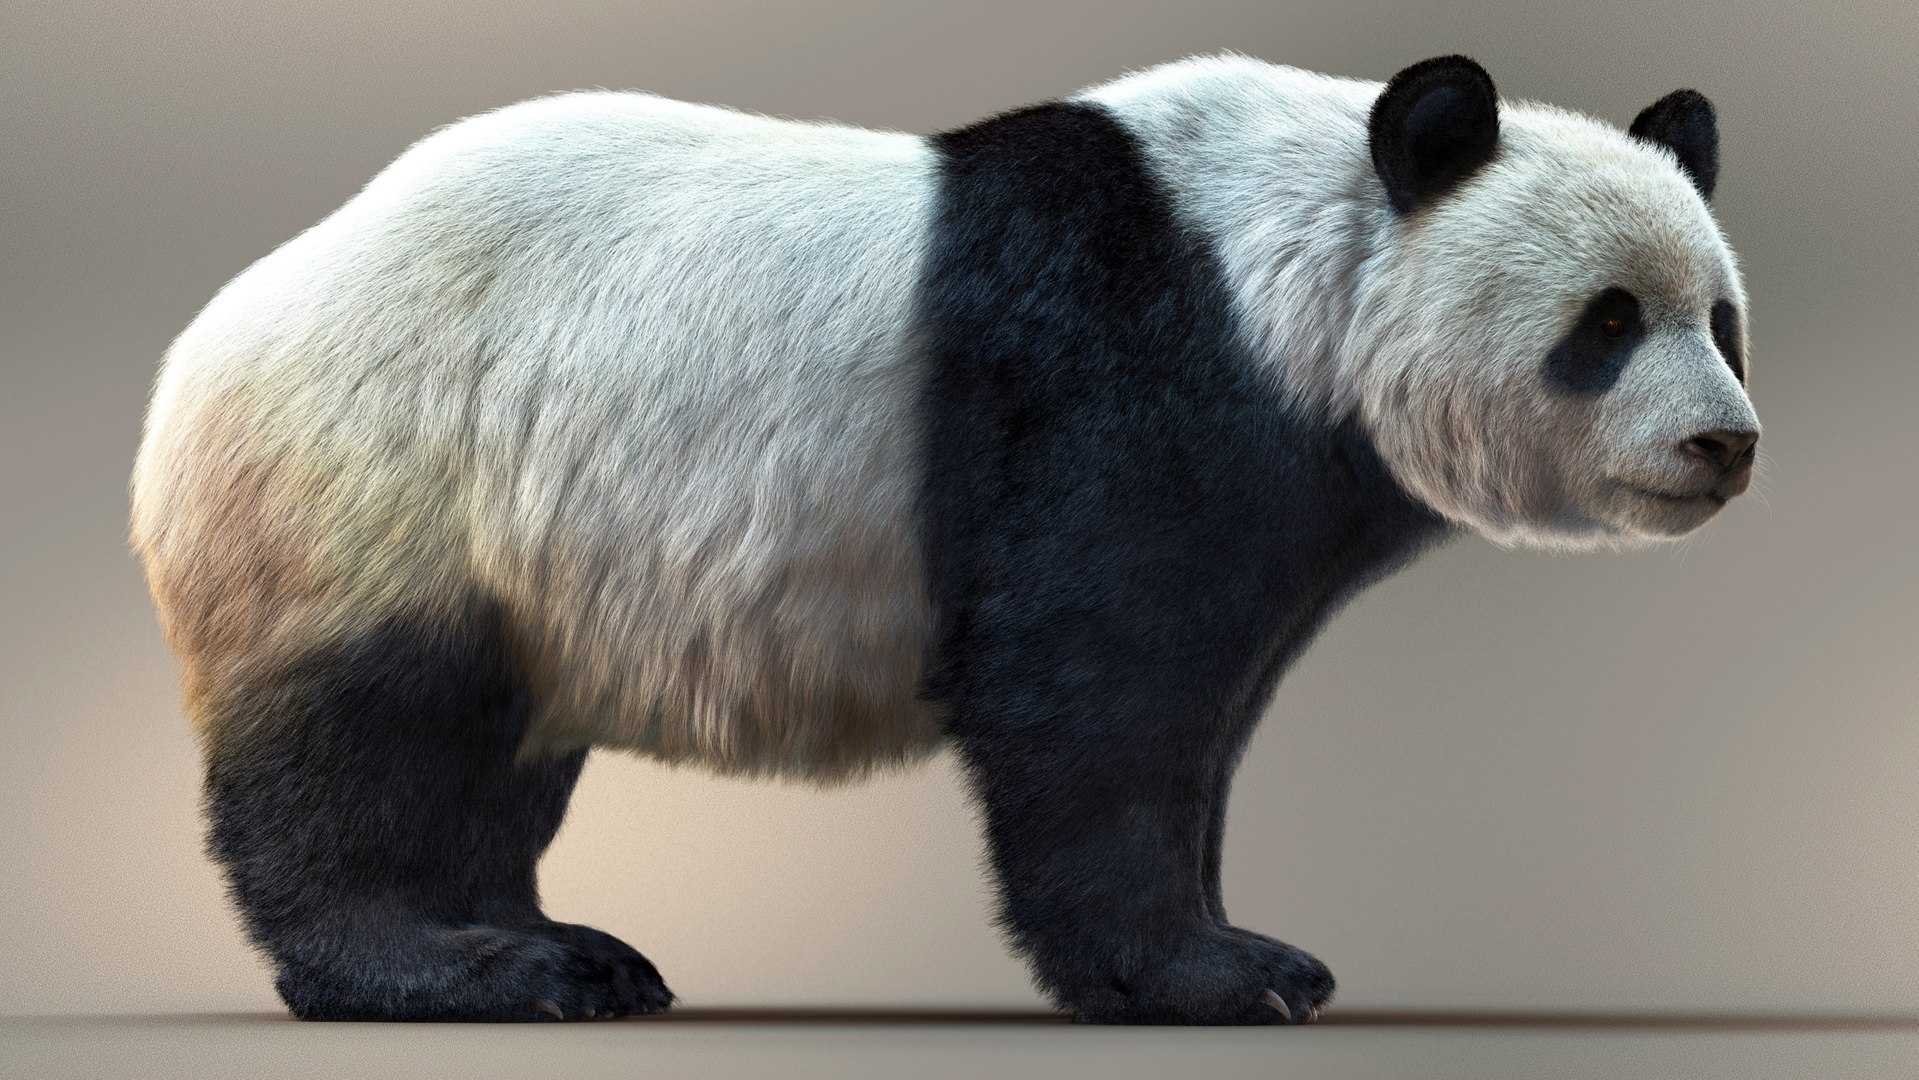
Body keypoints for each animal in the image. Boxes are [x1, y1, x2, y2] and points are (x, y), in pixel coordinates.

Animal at [130, 53, 1759, 1025]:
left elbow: (1199, 713)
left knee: (490, 757)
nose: (1720, 447)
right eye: (1603, 325)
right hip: (392, 471)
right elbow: (1089, 693)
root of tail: (206, 346)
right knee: (367, 739)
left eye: (1720, 318)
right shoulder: (1112, 374)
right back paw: (455, 964)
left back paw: (573, 949)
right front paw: (1214, 973)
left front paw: (1233, 945)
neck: (1290, 261)